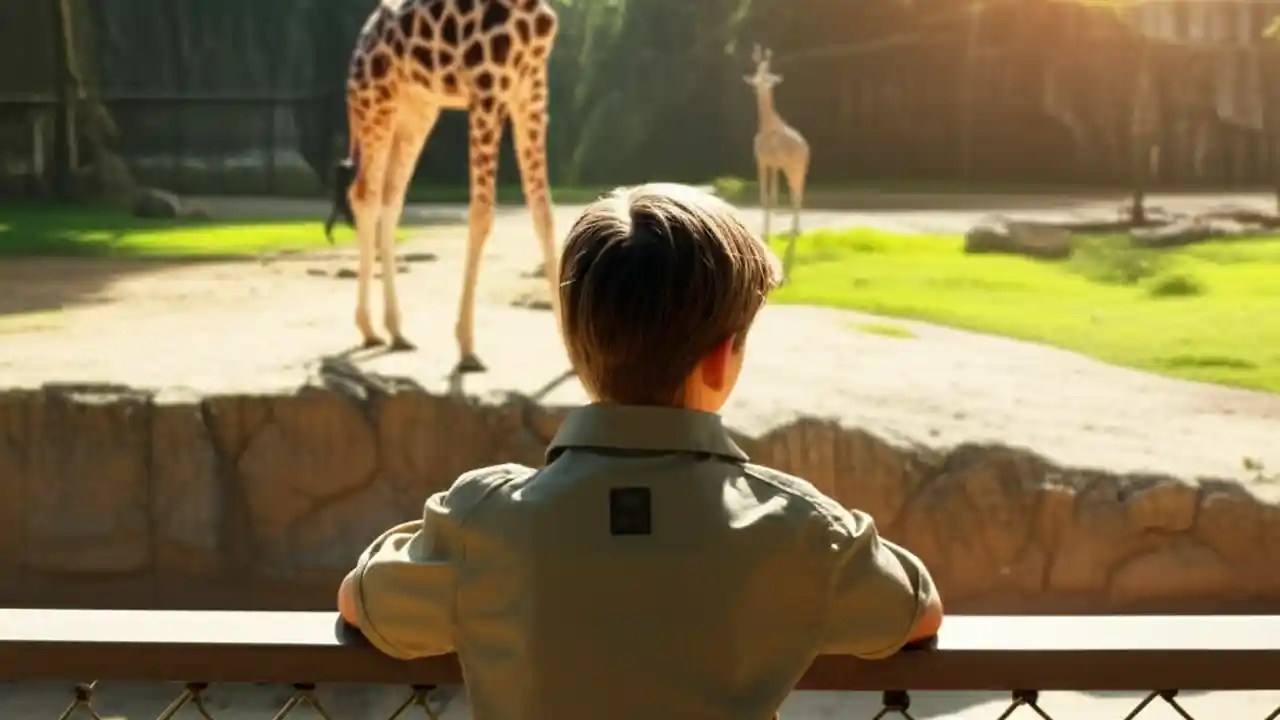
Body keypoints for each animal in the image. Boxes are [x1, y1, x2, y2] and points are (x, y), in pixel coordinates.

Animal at [333, 0, 561, 373]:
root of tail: (362, 39)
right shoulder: (487, 88)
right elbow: (482, 214)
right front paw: (466, 346)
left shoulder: (532, 88)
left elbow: (544, 213)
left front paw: (569, 346)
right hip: (377, 103)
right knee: (364, 195)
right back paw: (368, 328)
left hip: (416, 111)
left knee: (390, 199)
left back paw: (395, 330)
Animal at [745, 45, 809, 284]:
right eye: (757, 76)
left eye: (767, 77)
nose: (758, 88)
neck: (767, 126)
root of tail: (805, 149)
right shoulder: (774, 165)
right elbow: (772, 198)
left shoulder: (763, 161)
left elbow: (765, 199)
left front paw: (764, 236)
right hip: (799, 169)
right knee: (798, 195)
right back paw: (796, 232)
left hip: (792, 168)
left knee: (796, 195)